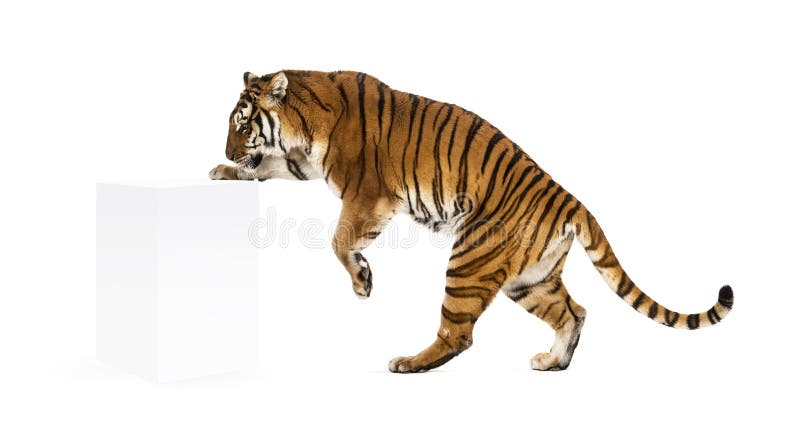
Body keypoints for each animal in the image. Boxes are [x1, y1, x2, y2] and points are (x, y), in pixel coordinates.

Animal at [209, 70, 734, 373]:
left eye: (242, 124)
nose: (227, 152)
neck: (304, 120)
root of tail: (571, 201)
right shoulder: (302, 164)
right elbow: (270, 168)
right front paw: (224, 172)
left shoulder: (366, 194)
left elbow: (339, 242)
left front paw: (362, 282)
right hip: (530, 279)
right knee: (575, 311)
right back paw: (553, 363)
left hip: (470, 260)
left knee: (458, 333)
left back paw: (409, 363)